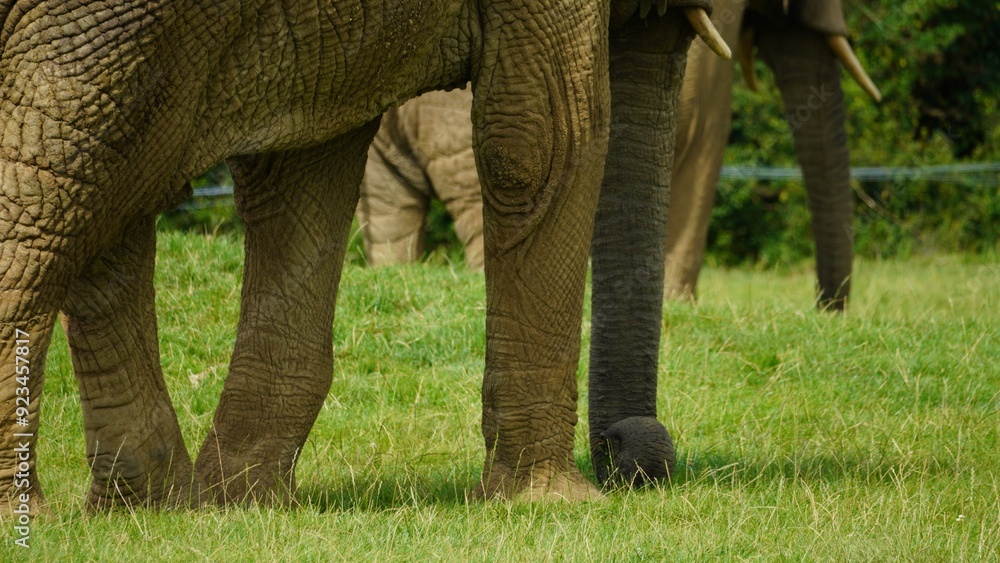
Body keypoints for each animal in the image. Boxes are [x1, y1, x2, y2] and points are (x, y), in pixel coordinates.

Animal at [0, 0, 728, 513]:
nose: (629, 451)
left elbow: (303, 168)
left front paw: (239, 503)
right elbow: (543, 143)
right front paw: (550, 503)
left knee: (107, 186)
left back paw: (149, 503)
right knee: (77, 169)